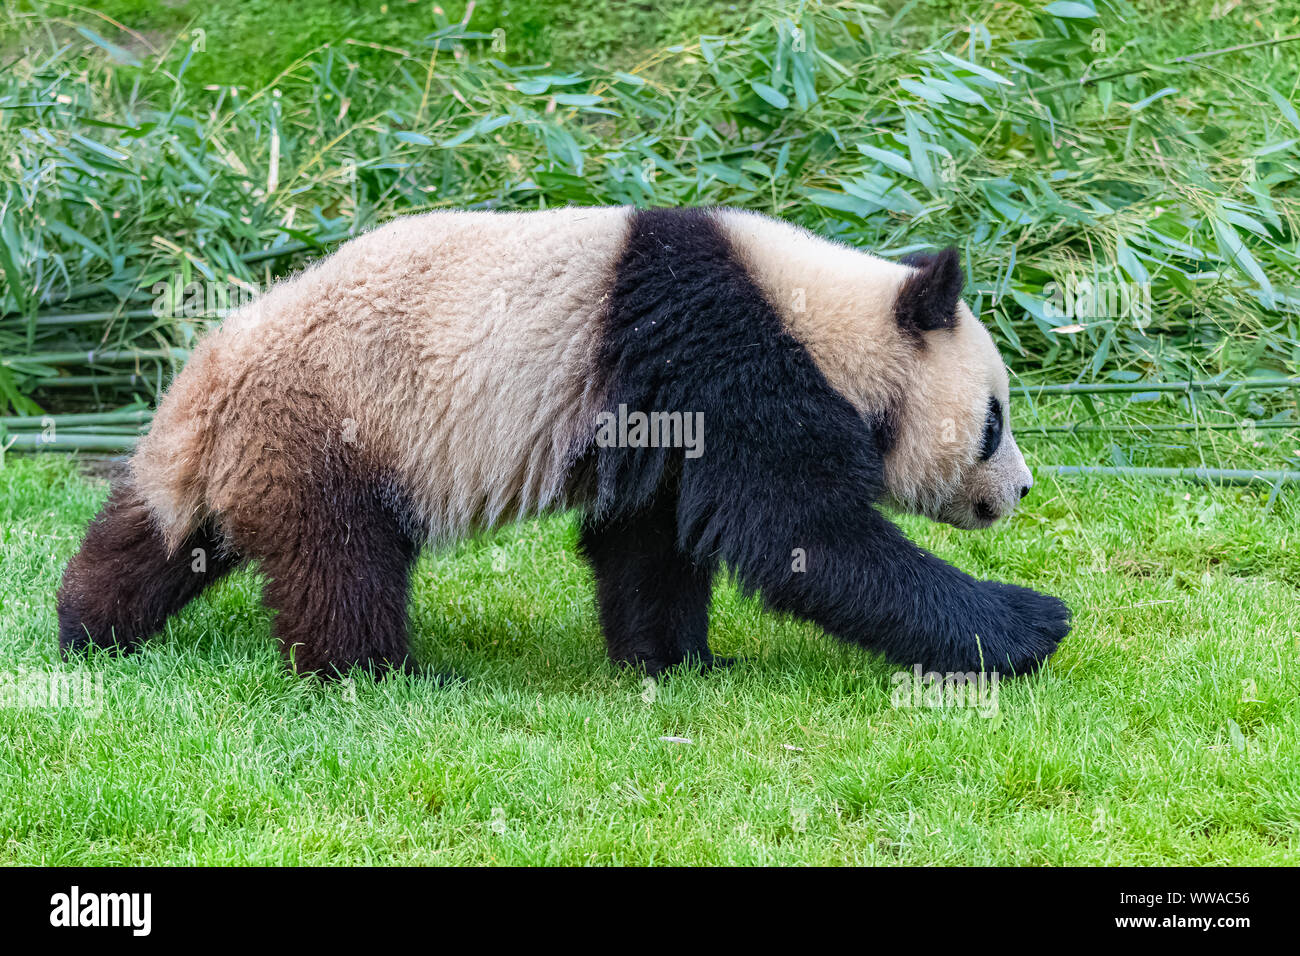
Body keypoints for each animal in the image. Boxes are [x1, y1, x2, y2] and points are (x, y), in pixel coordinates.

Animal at [57, 206, 1070, 678]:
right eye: (995, 419)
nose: (1020, 492)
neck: (822, 321)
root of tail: (211, 379)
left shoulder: (666, 404)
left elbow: (651, 539)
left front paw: (675, 659)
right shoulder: (729, 355)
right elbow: (801, 537)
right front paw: (1030, 624)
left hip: (230, 456)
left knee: (159, 538)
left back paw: (86, 629)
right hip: (333, 429)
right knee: (341, 564)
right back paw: (388, 676)